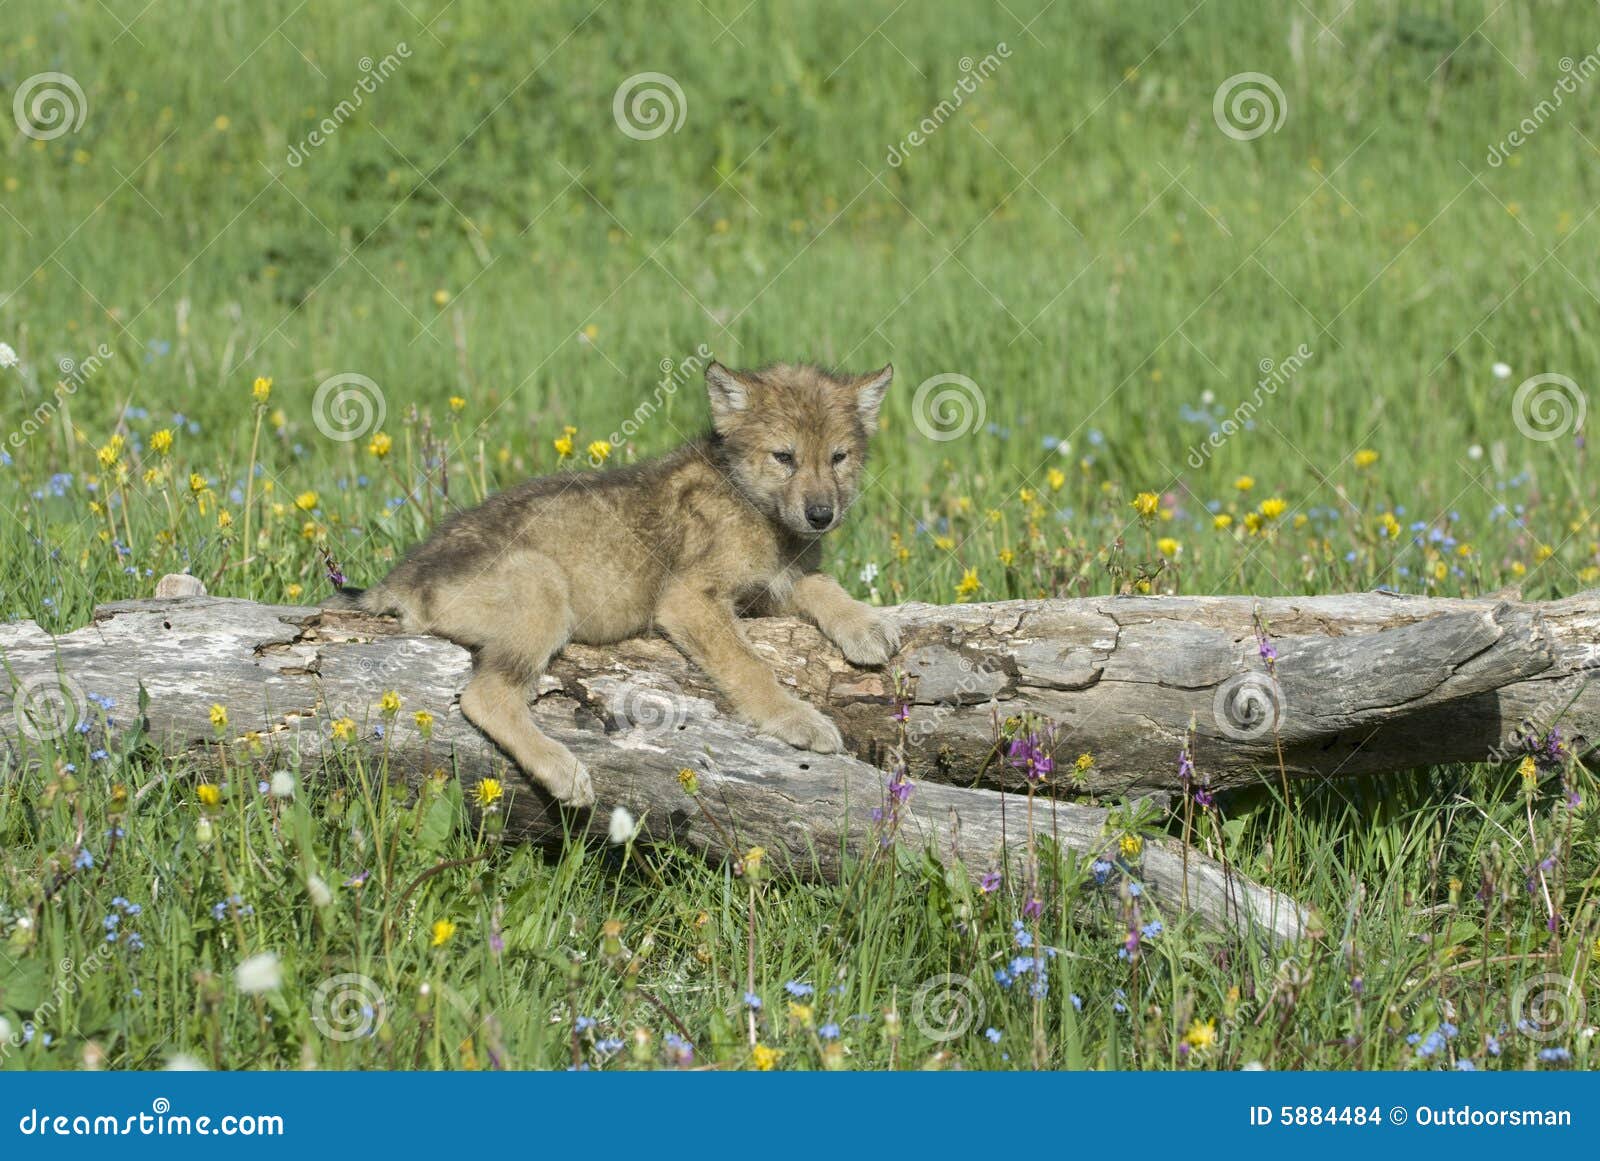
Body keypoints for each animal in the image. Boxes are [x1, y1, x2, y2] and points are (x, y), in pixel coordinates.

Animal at [350, 361, 901, 807]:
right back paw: (563, 770)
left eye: (838, 458)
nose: (821, 515)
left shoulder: (770, 586)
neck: (748, 499)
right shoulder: (689, 599)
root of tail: (399, 579)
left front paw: (866, 626)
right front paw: (797, 719)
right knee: (483, 697)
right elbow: (751, 667)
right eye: (784, 457)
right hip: (544, 588)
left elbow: (822, 585)